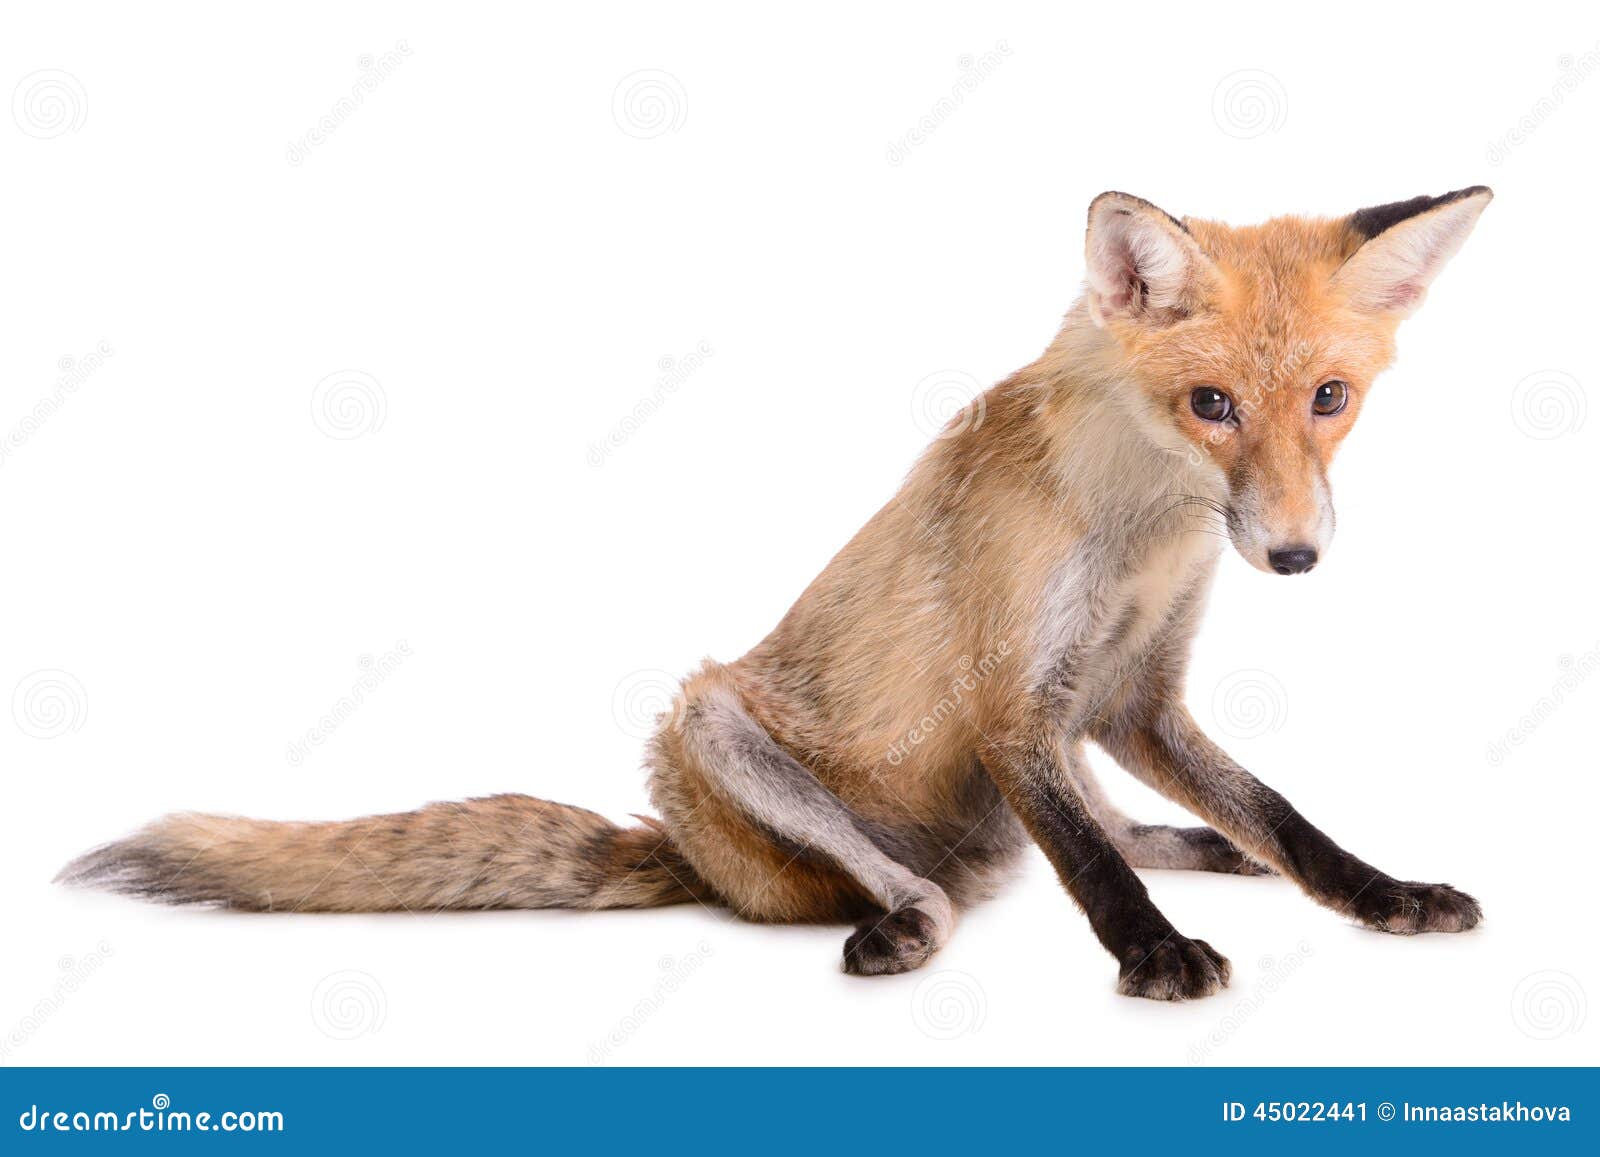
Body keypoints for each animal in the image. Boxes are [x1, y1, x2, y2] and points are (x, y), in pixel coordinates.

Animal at [60, 186, 1493, 1000]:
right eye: (1210, 405)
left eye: (1329, 399)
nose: (1295, 557)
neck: (1141, 527)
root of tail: (683, 850)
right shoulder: (1011, 703)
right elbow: (1091, 868)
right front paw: (1152, 955)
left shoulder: (1129, 703)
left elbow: (1281, 815)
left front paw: (1377, 891)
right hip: (710, 728)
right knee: (936, 889)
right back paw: (899, 929)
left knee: (1129, 834)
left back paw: (1205, 854)